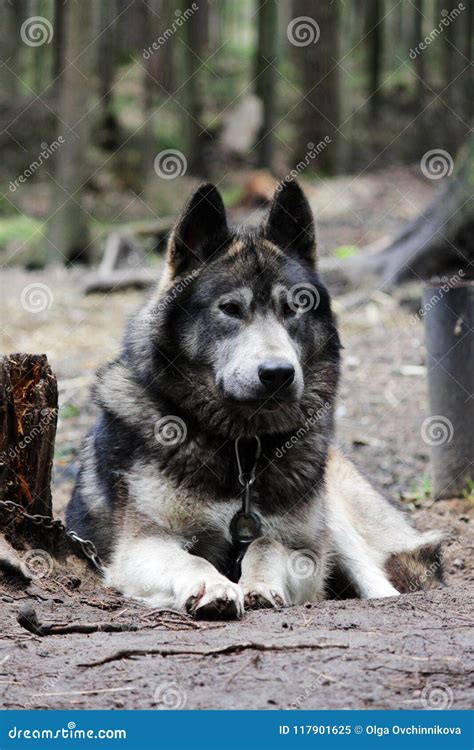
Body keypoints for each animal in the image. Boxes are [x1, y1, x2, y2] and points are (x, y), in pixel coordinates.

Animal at [67, 180, 444, 619]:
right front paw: (213, 586)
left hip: (335, 516)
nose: (278, 373)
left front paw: (259, 584)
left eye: (297, 306)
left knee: (380, 582)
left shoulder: (307, 551)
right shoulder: (141, 546)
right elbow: (191, 560)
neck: (242, 451)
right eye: (230, 309)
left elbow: (266, 543)